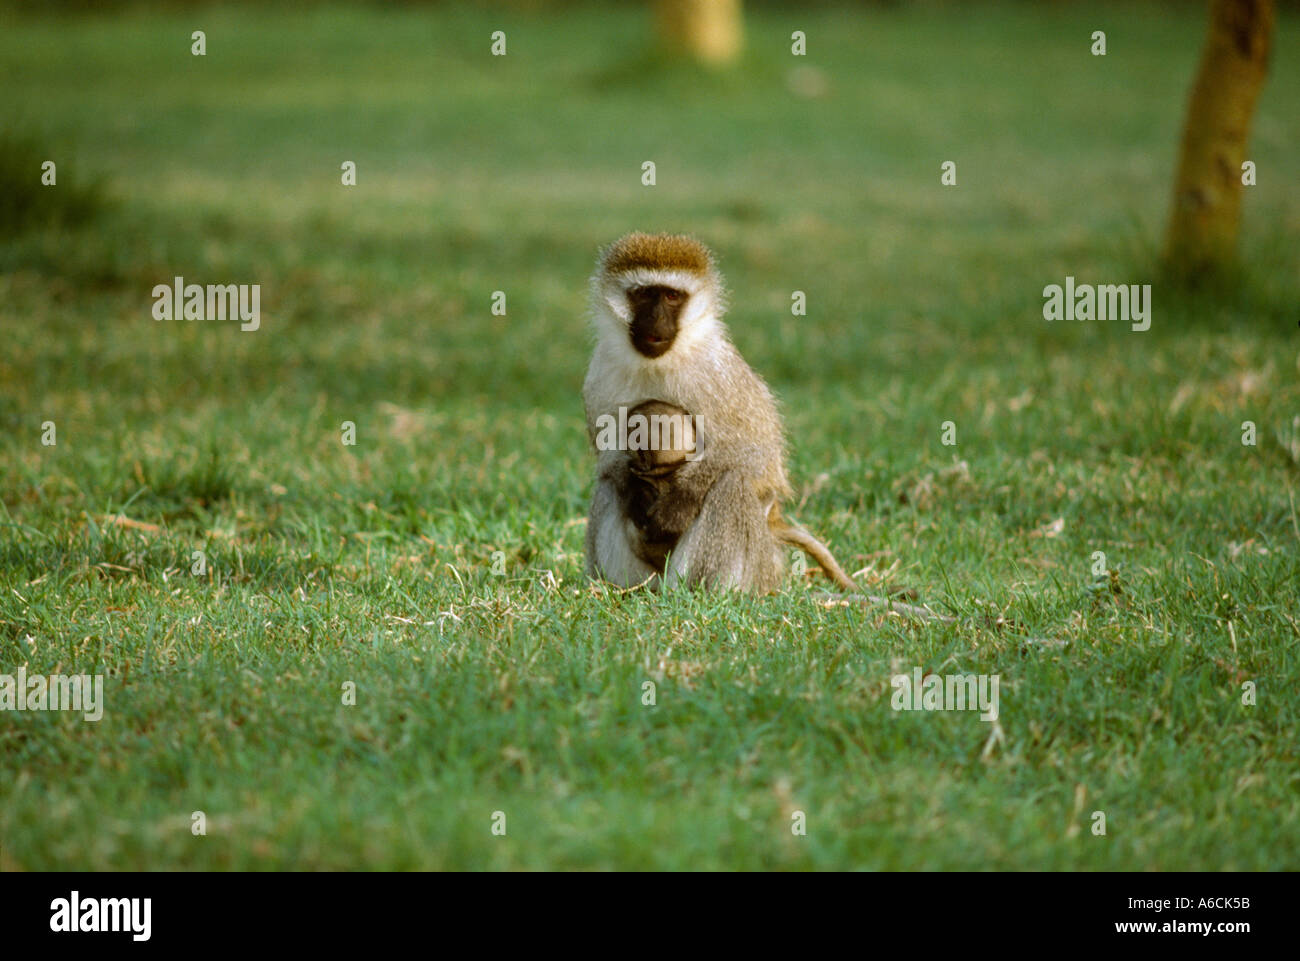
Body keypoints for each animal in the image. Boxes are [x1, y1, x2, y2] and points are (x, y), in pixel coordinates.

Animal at [582, 232, 860, 593]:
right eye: (642, 294)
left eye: (671, 296)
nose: (655, 320)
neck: (658, 363)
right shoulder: (599, 374)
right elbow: (610, 461)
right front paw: (637, 490)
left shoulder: (718, 374)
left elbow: (758, 457)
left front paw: (680, 501)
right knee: (608, 486)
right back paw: (624, 589)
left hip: (760, 566)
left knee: (733, 483)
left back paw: (696, 593)